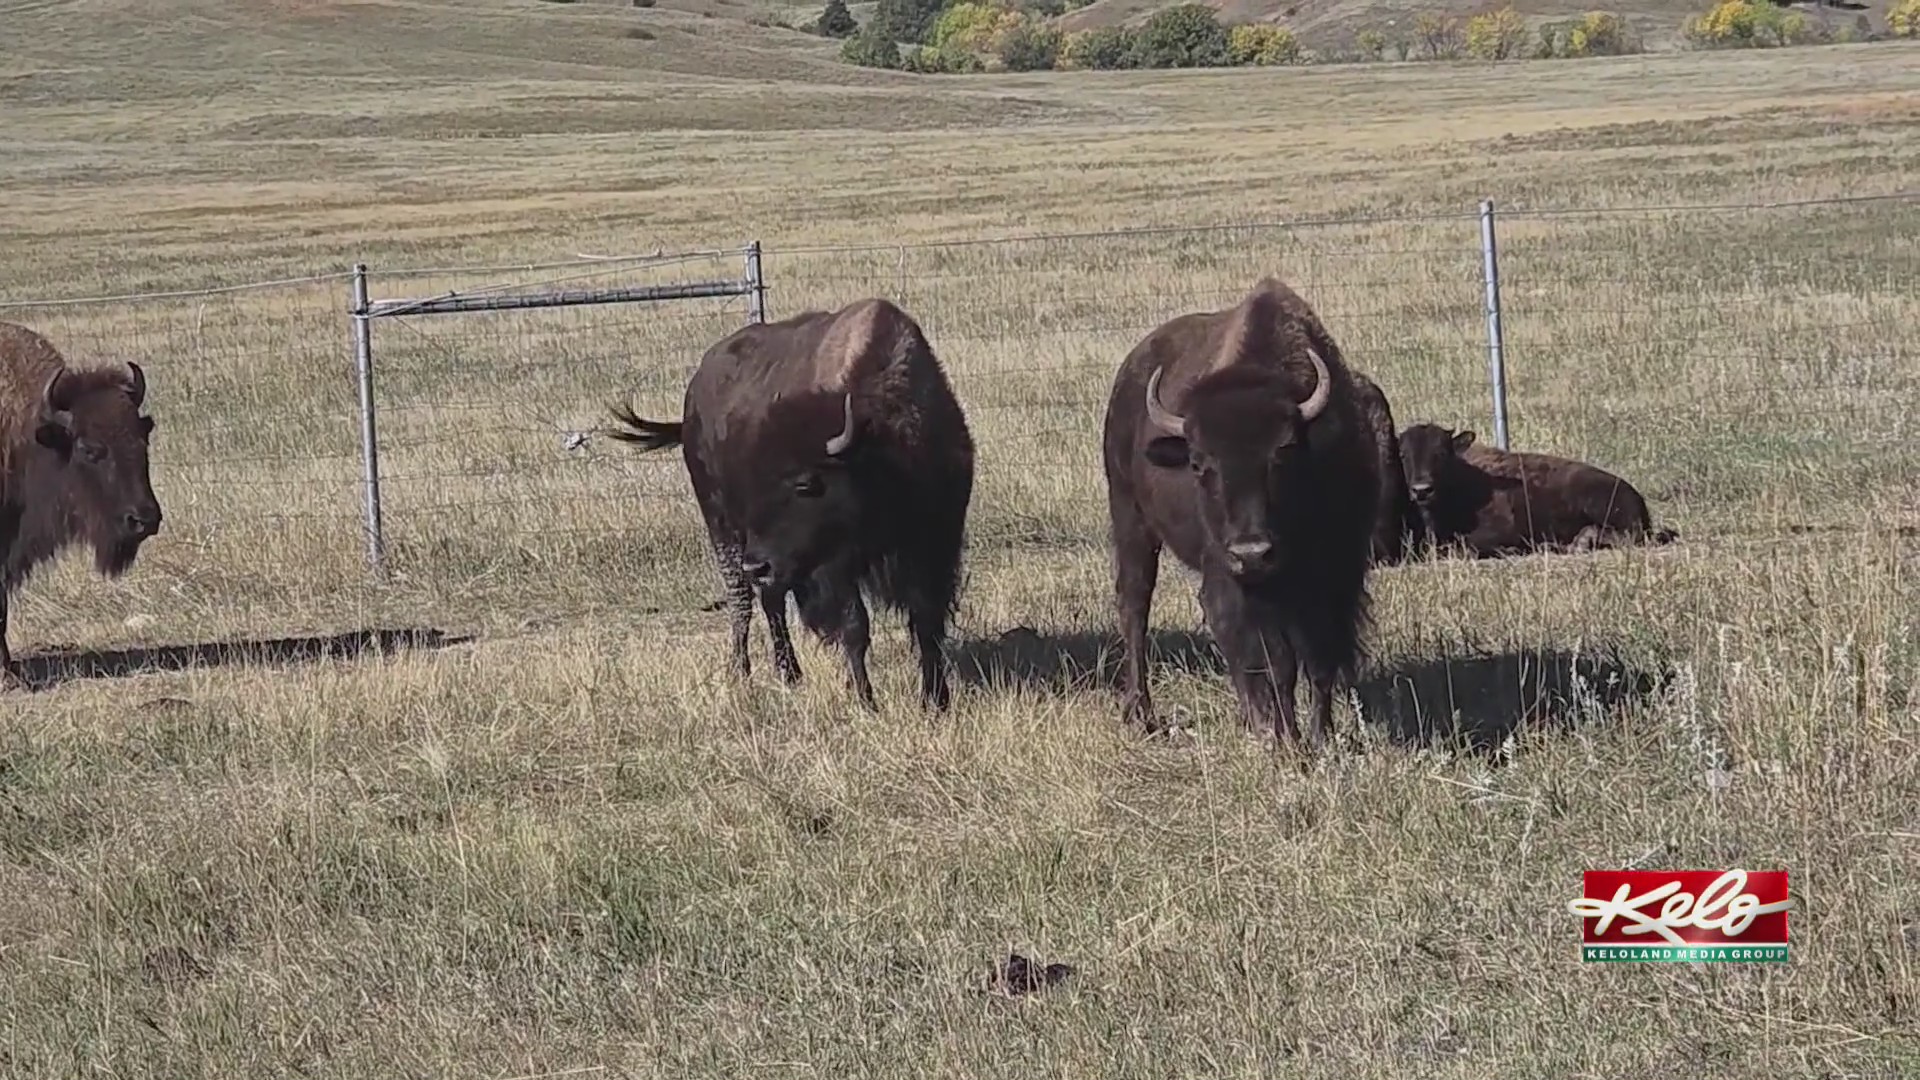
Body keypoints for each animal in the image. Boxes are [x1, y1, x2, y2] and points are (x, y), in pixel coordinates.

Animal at [608, 297, 975, 711]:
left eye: (805, 483)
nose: (758, 563)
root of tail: (692, 399)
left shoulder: (935, 545)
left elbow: (926, 621)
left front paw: (935, 701)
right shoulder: (832, 566)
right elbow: (855, 625)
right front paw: (866, 701)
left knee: (769, 599)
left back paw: (790, 674)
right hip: (724, 527)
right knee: (743, 599)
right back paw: (744, 671)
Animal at [1102, 277, 1381, 748]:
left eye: (1283, 453)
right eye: (1199, 464)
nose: (1252, 552)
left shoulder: (1336, 576)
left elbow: (1319, 660)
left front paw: (1320, 737)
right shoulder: (1253, 588)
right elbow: (1279, 662)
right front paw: (1289, 742)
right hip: (1132, 521)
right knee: (1136, 606)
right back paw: (1142, 714)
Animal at [1397, 423, 1678, 558]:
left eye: (1442, 453)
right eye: (1403, 455)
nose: (1422, 490)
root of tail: (1634, 494)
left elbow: (1464, 545)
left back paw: (1580, 542)